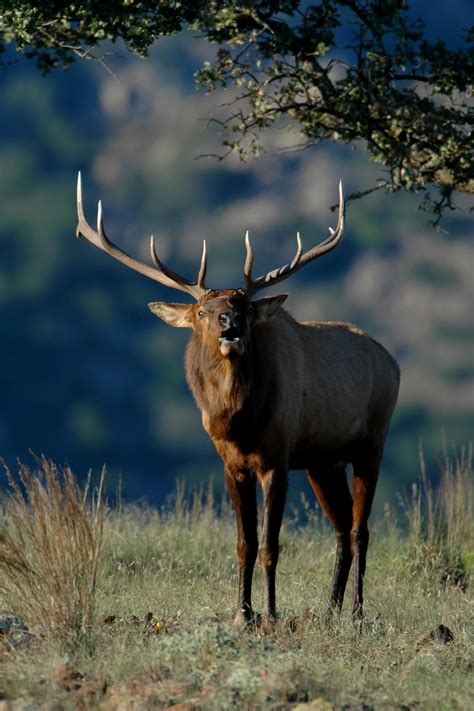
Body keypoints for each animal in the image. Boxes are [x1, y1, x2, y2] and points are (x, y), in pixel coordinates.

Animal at [75, 172, 400, 631]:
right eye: (202, 311)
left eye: (243, 306)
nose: (230, 323)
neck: (240, 424)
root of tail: (393, 363)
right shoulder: (232, 465)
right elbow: (243, 543)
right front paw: (241, 613)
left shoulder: (277, 458)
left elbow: (270, 545)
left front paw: (270, 614)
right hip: (323, 461)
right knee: (340, 528)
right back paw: (329, 610)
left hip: (373, 440)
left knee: (360, 529)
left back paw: (354, 613)